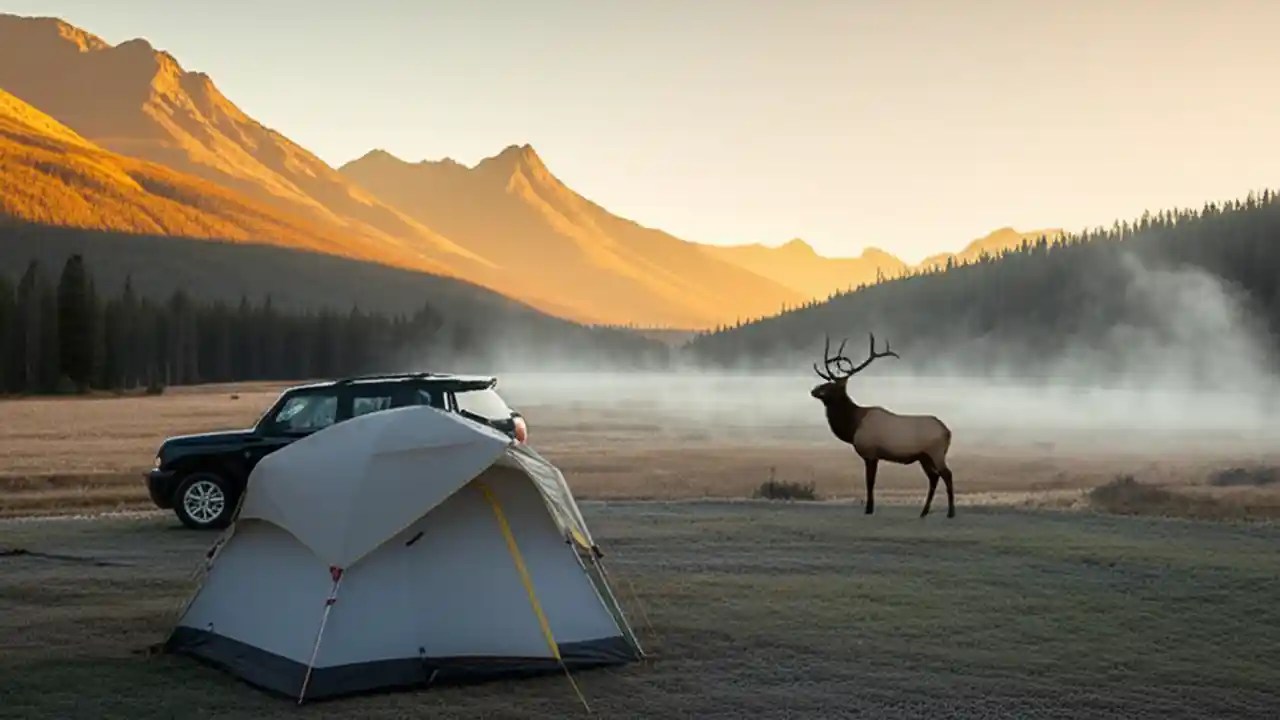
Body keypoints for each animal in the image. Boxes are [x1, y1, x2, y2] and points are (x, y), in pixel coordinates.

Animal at [810, 333, 956, 518]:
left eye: (832, 385)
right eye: (826, 381)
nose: (814, 390)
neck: (853, 426)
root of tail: (948, 432)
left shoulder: (870, 453)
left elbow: (870, 481)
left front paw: (869, 509)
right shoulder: (874, 455)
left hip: (935, 452)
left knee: (947, 474)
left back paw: (950, 512)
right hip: (924, 456)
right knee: (934, 477)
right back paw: (924, 512)